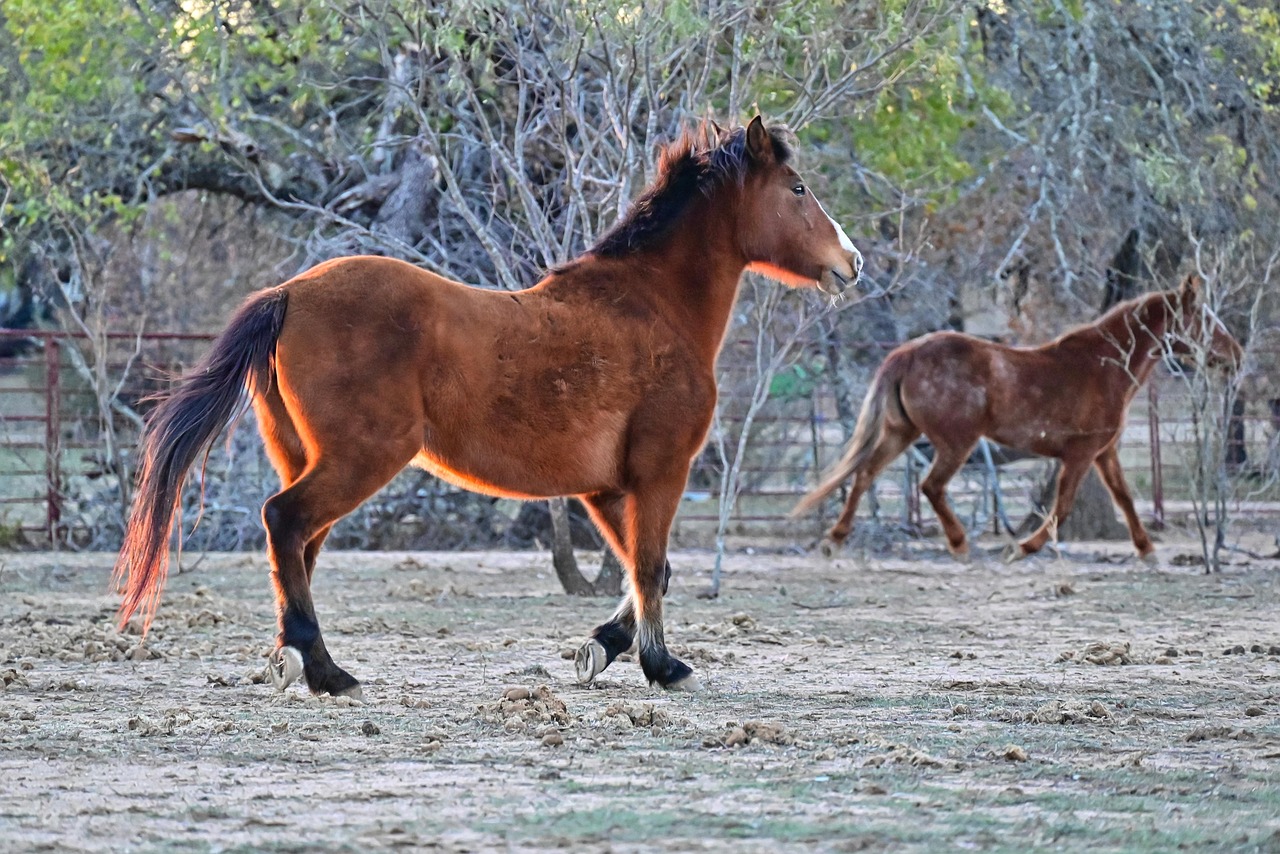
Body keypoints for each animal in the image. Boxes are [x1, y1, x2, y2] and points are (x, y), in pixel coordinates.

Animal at [114, 116, 863, 698]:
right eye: (798, 189)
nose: (851, 262)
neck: (651, 307)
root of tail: (290, 293)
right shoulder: (659, 472)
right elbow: (650, 566)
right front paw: (662, 665)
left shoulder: (602, 487)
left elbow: (646, 569)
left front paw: (601, 647)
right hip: (360, 459)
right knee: (285, 521)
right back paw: (328, 672)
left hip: (308, 458)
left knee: (298, 543)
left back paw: (292, 661)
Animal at [792, 273, 1242, 562]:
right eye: (1204, 319)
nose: (1236, 355)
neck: (1105, 367)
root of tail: (907, 353)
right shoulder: (1080, 454)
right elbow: (1062, 506)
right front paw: (1021, 548)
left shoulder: (1104, 452)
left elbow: (1126, 498)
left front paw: (1146, 550)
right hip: (956, 443)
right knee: (930, 486)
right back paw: (960, 545)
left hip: (901, 432)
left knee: (865, 473)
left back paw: (834, 540)